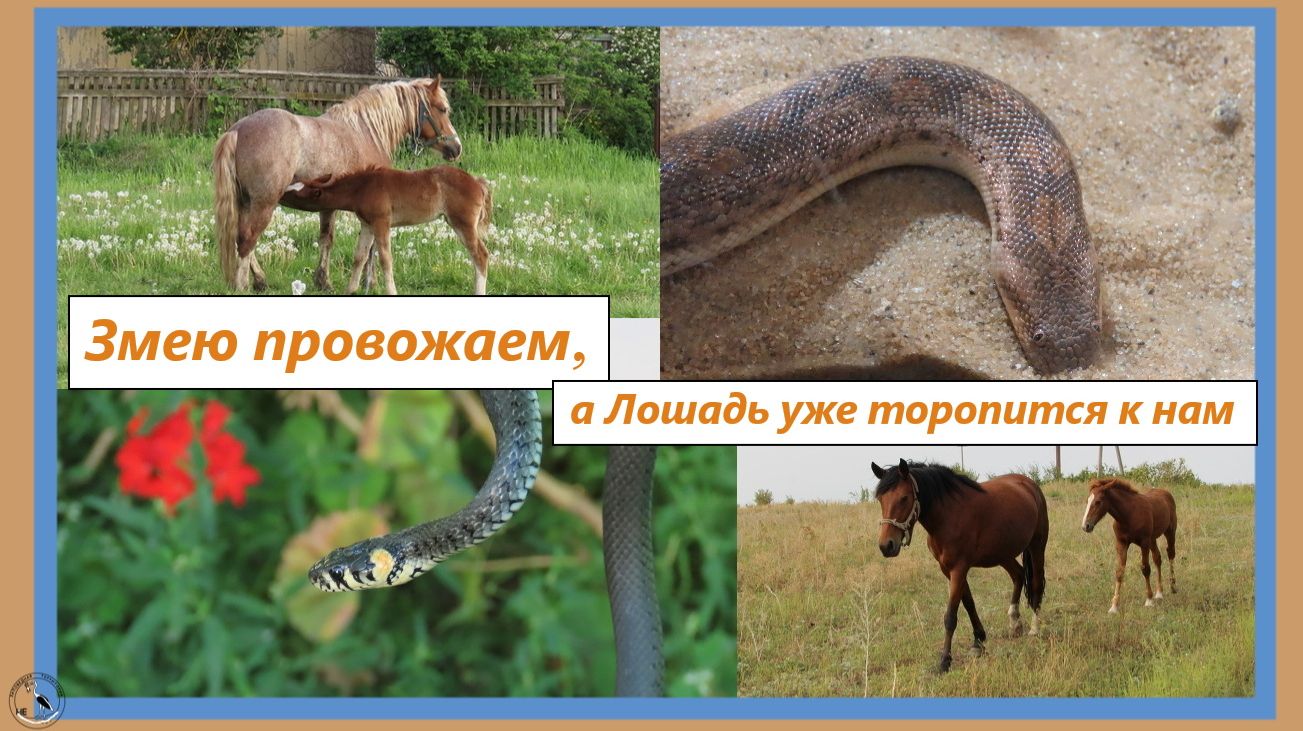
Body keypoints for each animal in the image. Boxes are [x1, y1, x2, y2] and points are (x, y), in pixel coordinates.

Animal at [212, 76, 462, 292]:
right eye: (442, 108)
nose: (456, 148)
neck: (366, 131)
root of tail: (237, 131)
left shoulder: (328, 206)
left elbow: (326, 239)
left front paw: (323, 281)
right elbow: (370, 249)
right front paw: (370, 284)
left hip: (245, 203)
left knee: (242, 240)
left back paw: (260, 280)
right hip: (264, 204)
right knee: (248, 240)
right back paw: (243, 284)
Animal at [285, 165, 493, 295]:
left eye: (295, 193)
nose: (281, 193)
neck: (362, 187)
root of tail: (478, 183)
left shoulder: (381, 222)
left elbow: (385, 259)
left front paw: (391, 291)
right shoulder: (367, 225)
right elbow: (359, 257)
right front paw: (350, 290)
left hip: (463, 224)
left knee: (481, 255)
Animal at [872, 459, 1049, 672]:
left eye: (904, 498)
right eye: (880, 499)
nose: (886, 545)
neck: (948, 515)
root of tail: (1029, 484)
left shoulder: (959, 568)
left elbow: (950, 616)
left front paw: (945, 661)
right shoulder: (948, 570)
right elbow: (969, 604)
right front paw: (978, 641)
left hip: (1037, 545)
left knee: (1036, 584)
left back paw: (1034, 629)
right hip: (1002, 553)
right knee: (1019, 574)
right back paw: (1014, 623)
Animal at [1081, 477, 1178, 613]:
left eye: (1098, 502)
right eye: (1088, 500)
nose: (1086, 526)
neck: (1129, 514)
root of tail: (1165, 492)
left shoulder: (1144, 542)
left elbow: (1145, 569)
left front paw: (1149, 599)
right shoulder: (1121, 543)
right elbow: (1119, 572)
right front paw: (1114, 606)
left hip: (1170, 532)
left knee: (1171, 553)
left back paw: (1173, 586)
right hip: (1152, 539)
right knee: (1158, 558)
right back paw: (1159, 593)